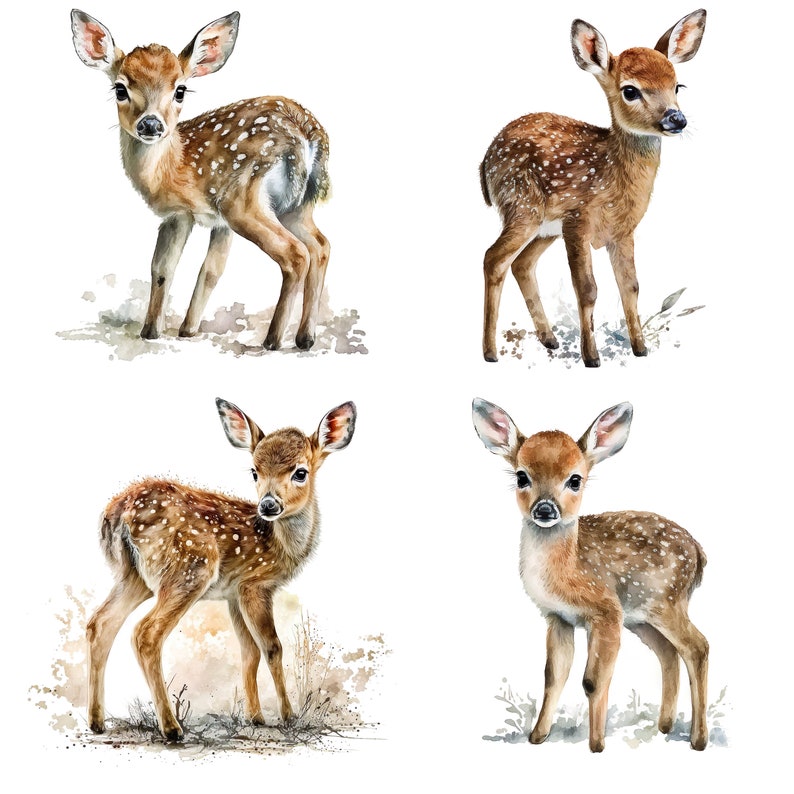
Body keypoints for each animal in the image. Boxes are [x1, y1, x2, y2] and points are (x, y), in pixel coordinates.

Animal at [70, 9, 331, 351]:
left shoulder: (181, 212)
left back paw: (273, 340)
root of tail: (304, 134)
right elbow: (206, 270)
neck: (172, 166)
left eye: (180, 90)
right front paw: (186, 330)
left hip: (244, 199)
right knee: (320, 246)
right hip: (296, 205)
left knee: (296, 254)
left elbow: (164, 267)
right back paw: (305, 337)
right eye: (120, 89)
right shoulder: (217, 223)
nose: (150, 124)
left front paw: (151, 332)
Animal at [86, 398, 356, 742]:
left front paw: (255, 717)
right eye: (254, 471)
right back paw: (171, 728)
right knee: (145, 633)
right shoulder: (255, 584)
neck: (277, 542)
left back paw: (96, 721)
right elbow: (272, 647)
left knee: (100, 623)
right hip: (190, 569)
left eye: (300, 472)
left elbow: (249, 651)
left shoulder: (232, 593)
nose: (268, 505)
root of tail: (116, 513)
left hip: (133, 576)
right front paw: (288, 716)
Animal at [472, 398, 709, 752]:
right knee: (669, 653)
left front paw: (596, 745)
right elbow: (553, 677)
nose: (545, 509)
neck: (568, 569)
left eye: (575, 480)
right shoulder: (558, 617)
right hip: (641, 616)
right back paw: (664, 726)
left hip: (665, 601)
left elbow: (592, 680)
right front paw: (537, 737)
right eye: (522, 476)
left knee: (698, 647)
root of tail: (698, 553)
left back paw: (698, 739)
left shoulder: (606, 610)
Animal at [480, 10, 707, 367]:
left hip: (545, 228)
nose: (677, 119)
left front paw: (640, 349)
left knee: (522, 264)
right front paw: (591, 358)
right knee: (493, 259)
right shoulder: (578, 219)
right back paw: (490, 352)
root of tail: (486, 160)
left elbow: (630, 286)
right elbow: (587, 289)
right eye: (630, 90)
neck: (611, 172)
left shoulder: (622, 231)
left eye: (677, 86)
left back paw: (550, 339)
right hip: (522, 207)